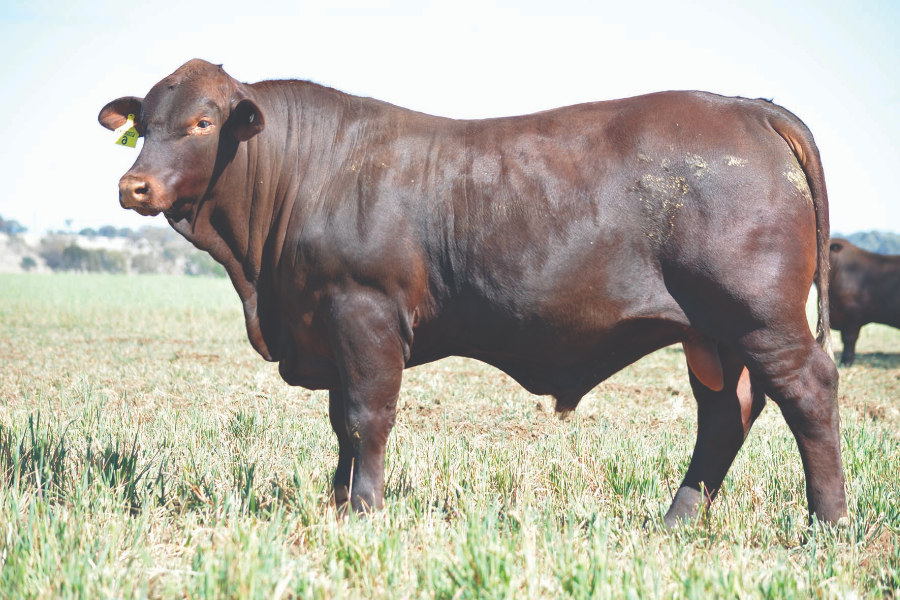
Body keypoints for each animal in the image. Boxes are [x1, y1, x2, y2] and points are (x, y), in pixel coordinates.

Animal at [98, 59, 847, 527]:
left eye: (202, 123)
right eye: (146, 124)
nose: (134, 186)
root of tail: (747, 107)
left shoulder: (364, 312)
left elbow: (367, 418)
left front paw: (364, 511)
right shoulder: (330, 326)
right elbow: (341, 422)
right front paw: (337, 505)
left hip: (762, 316)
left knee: (808, 393)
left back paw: (828, 523)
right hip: (710, 334)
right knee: (726, 414)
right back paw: (677, 521)